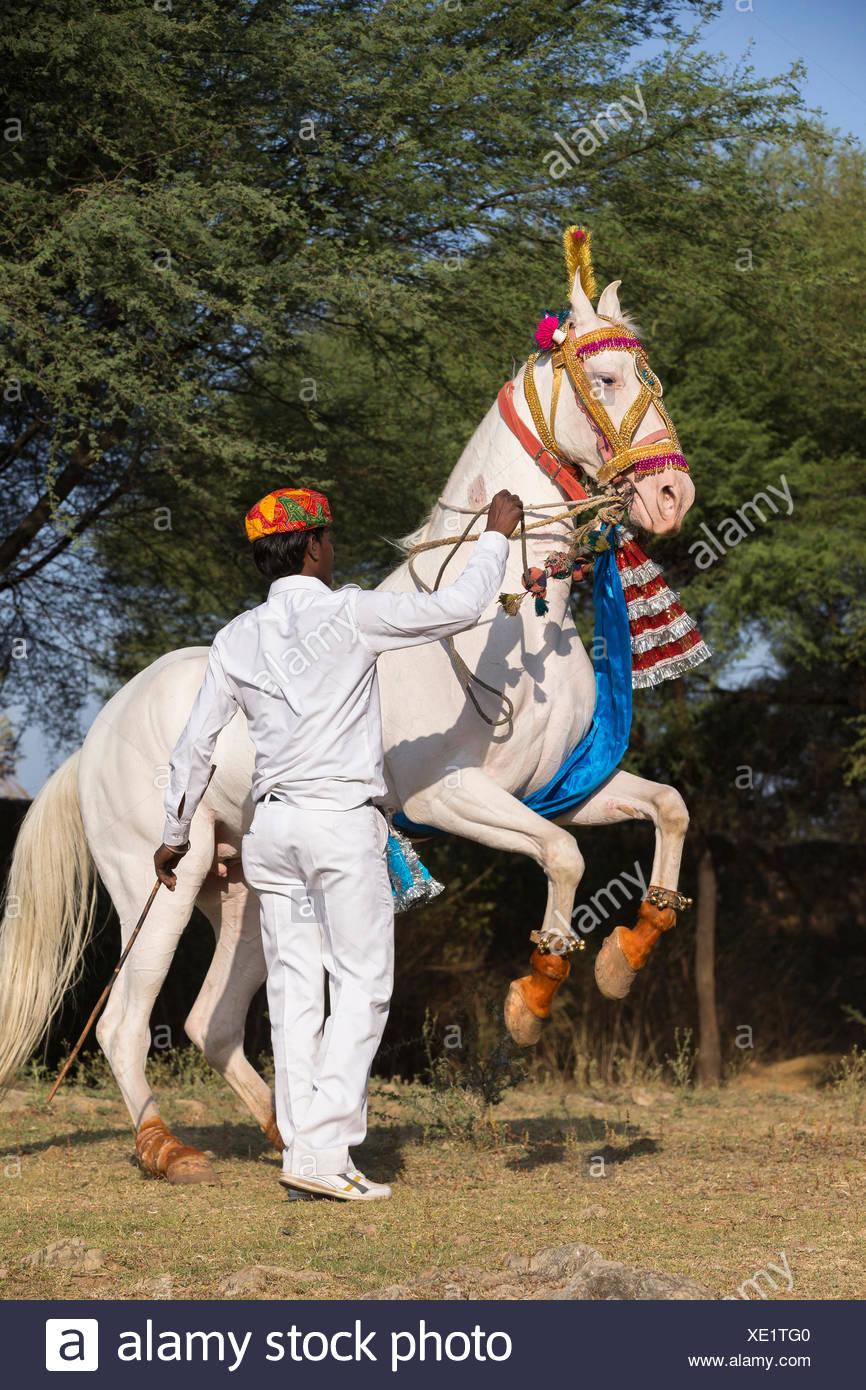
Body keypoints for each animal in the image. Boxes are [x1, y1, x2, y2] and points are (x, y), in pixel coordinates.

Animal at [0, 229, 697, 1183]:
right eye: (609, 379)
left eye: (649, 374)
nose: (673, 496)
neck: (509, 620)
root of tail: (91, 743)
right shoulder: (457, 798)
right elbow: (561, 858)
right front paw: (533, 997)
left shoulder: (558, 789)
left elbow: (667, 807)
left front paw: (628, 957)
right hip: (163, 882)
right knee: (123, 1023)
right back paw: (167, 1149)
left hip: (239, 896)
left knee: (210, 1022)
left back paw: (291, 1135)